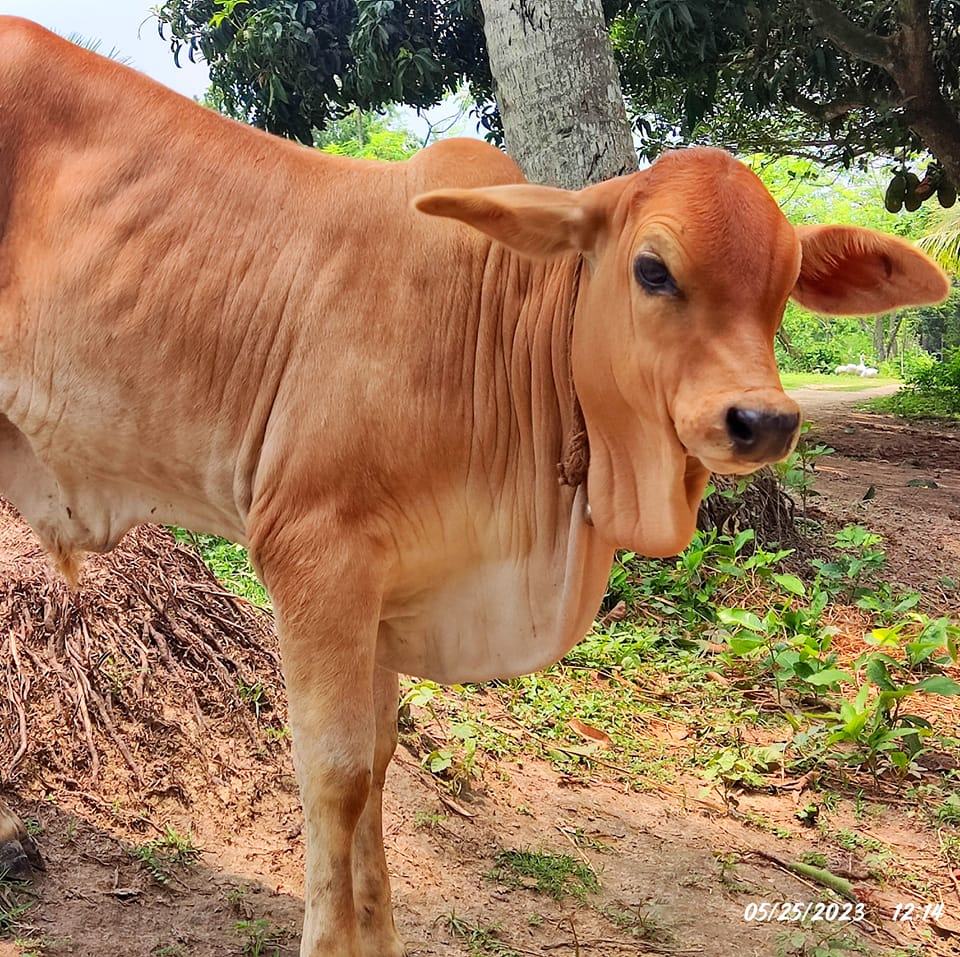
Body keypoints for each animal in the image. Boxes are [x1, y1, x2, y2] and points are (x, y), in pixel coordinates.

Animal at [0, 17, 949, 957]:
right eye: (652, 269)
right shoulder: (315, 552)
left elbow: (381, 760)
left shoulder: (387, 584)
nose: (763, 420)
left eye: (786, 287)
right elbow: (336, 772)